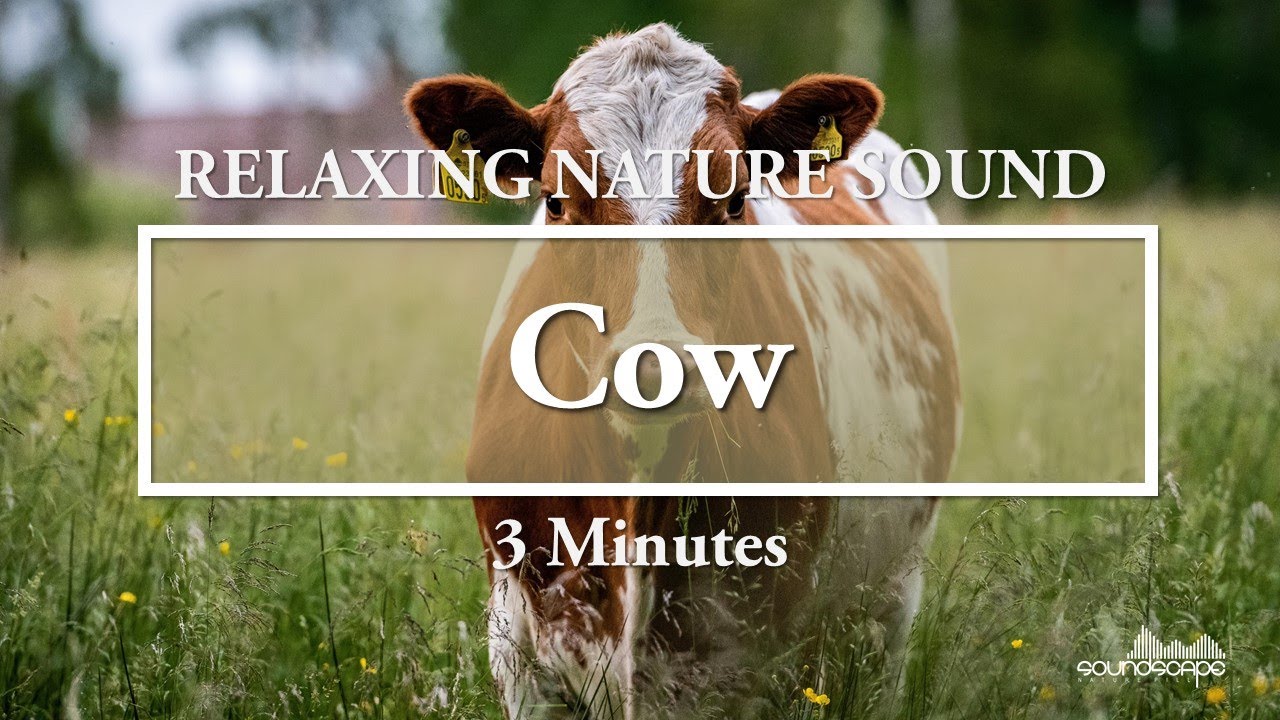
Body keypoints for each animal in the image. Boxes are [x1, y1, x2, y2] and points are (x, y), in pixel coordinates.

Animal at [405, 23, 960, 720]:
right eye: (556, 199)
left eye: (735, 198)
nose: (655, 364)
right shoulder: (521, 654)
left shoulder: (752, 660)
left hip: (887, 604)